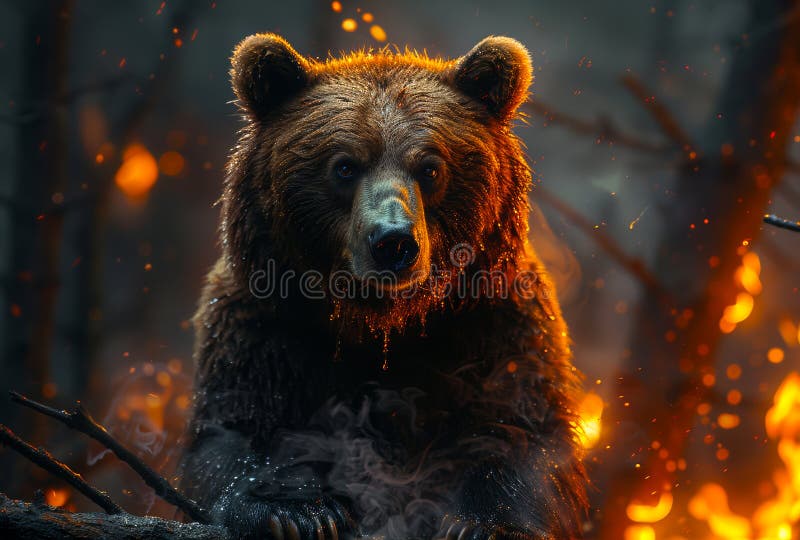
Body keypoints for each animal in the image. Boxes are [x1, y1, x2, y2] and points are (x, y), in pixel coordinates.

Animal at [179, 33, 587, 540]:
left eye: (430, 168)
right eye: (344, 166)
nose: (392, 242)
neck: (383, 323)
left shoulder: (493, 320)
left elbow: (522, 429)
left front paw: (484, 524)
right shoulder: (266, 324)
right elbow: (236, 432)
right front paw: (298, 511)